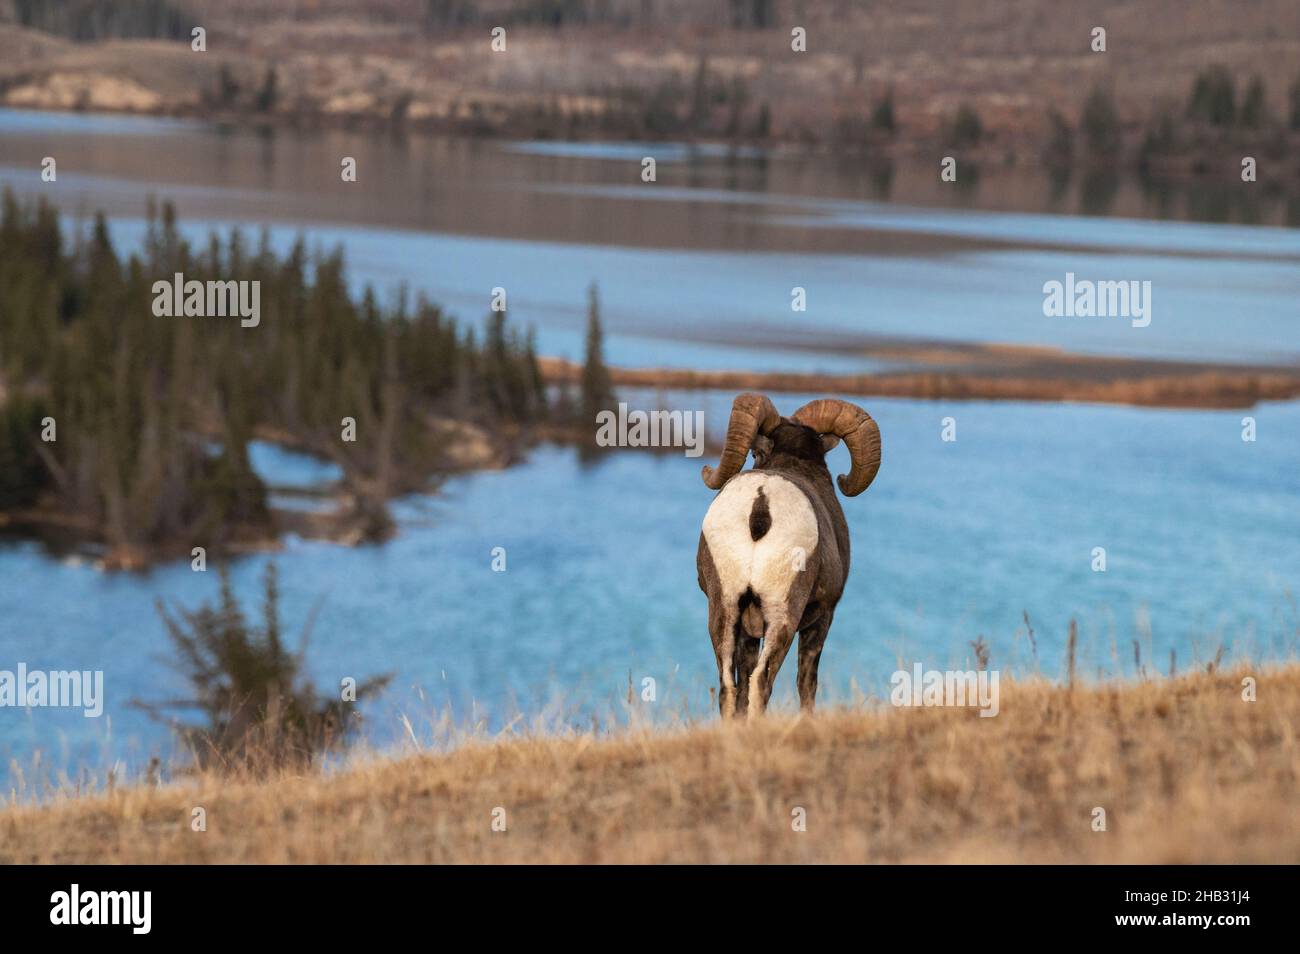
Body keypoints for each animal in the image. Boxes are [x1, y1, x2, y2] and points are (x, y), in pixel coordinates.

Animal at [696, 393, 881, 719]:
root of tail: (761, 500)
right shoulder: (822, 616)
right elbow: (806, 682)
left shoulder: (747, 629)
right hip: (783, 614)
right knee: (761, 682)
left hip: (724, 608)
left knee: (730, 686)